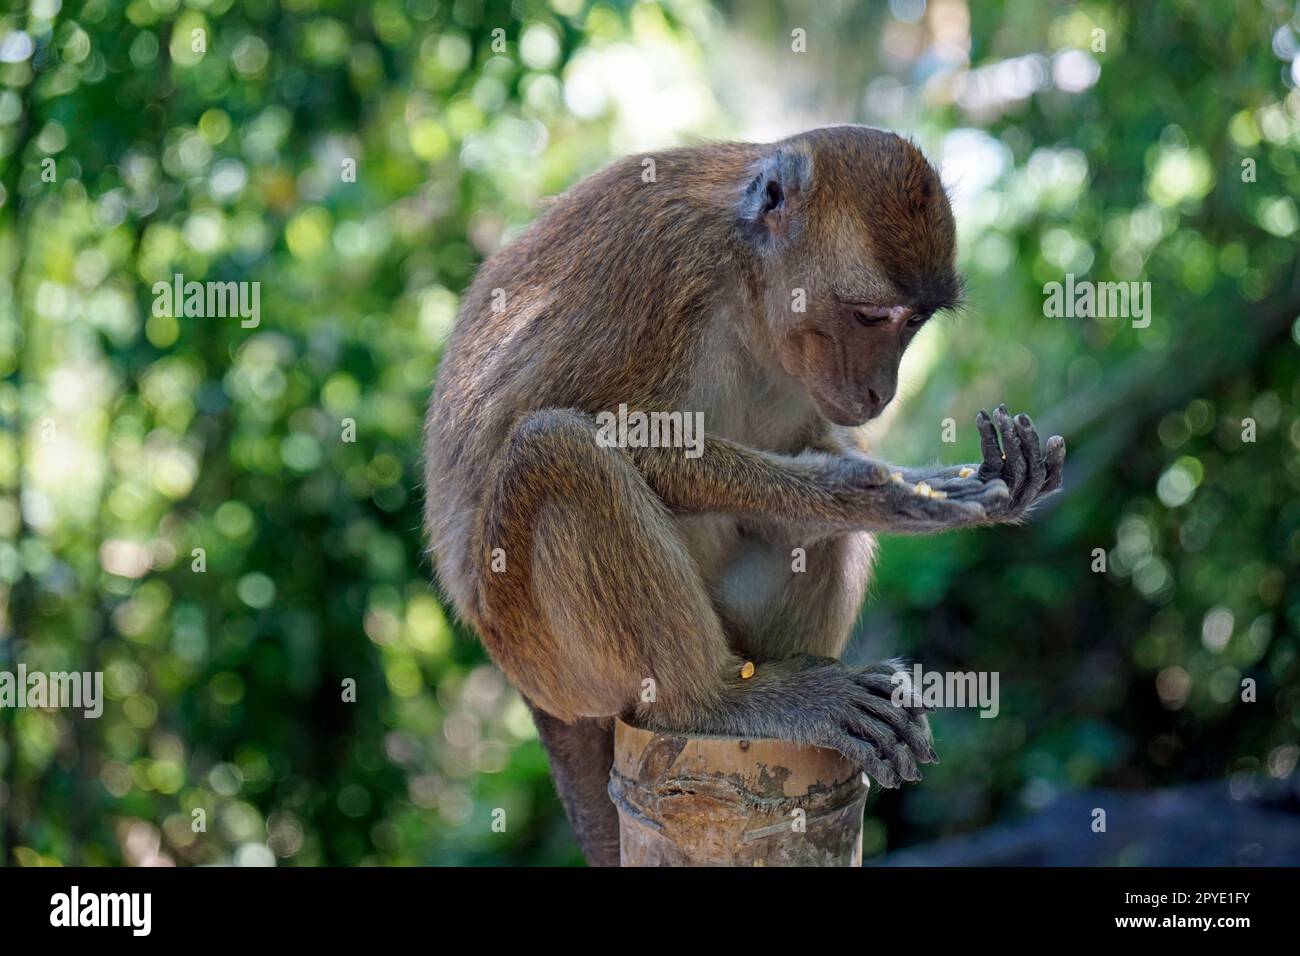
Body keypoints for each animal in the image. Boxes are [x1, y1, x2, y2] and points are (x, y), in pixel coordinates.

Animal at [423, 125, 1065, 866]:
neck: (745, 276)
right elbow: (616, 428)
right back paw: (714, 703)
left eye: (914, 323)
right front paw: (862, 495)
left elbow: (809, 437)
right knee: (557, 448)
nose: (882, 391)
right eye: (872, 316)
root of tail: (531, 692)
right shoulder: (666, 265)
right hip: (540, 648)